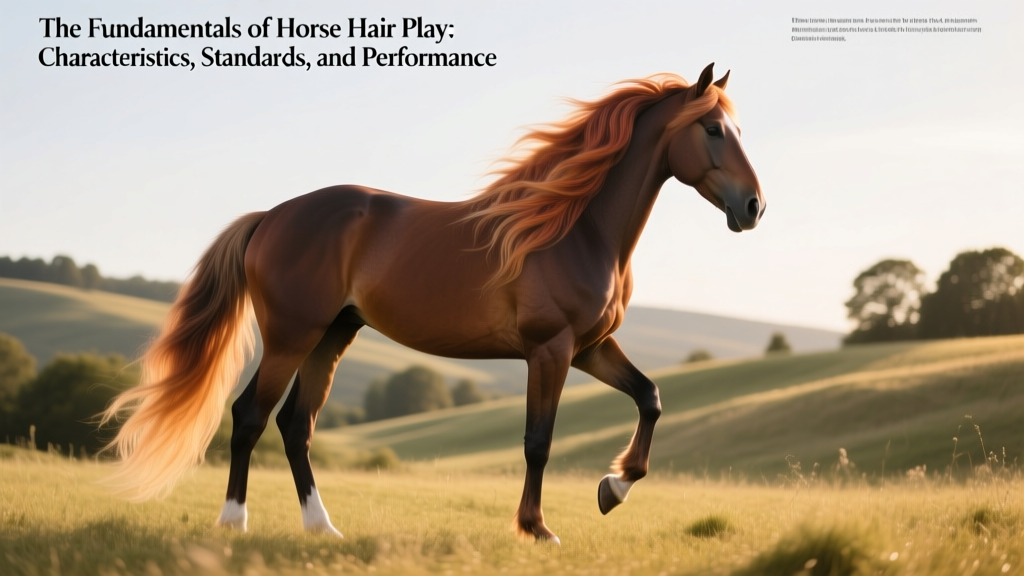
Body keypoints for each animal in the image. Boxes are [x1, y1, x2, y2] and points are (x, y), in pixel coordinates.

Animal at [101, 63, 764, 543]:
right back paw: (234, 523)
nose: (754, 206)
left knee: (295, 425)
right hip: (292, 335)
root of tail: (271, 216)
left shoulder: (591, 348)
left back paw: (323, 529)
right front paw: (537, 529)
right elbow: (538, 441)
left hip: (332, 336)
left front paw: (613, 488)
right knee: (249, 417)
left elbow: (650, 398)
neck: (575, 229)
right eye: (711, 130)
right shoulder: (550, 351)